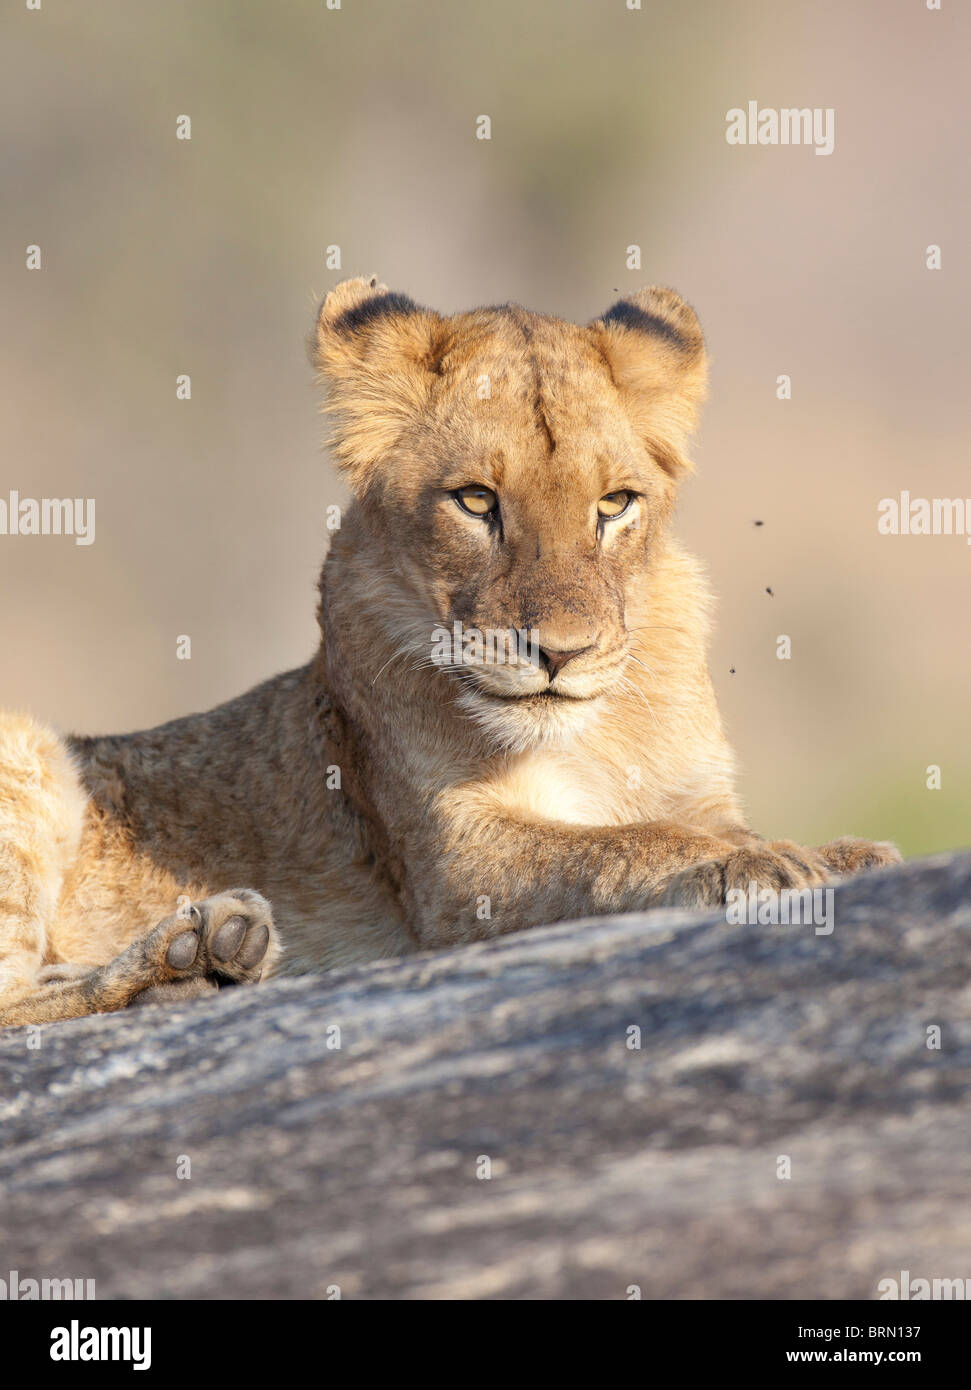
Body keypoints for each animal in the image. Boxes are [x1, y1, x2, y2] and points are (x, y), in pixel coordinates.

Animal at [0, 277, 899, 1026]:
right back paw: (187, 959)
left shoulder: (697, 796)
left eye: (614, 504)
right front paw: (767, 866)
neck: (593, 737)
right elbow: (621, 845)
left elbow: (699, 827)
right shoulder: (454, 862)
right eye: (474, 501)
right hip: (27, 753)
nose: (559, 654)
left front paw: (841, 852)